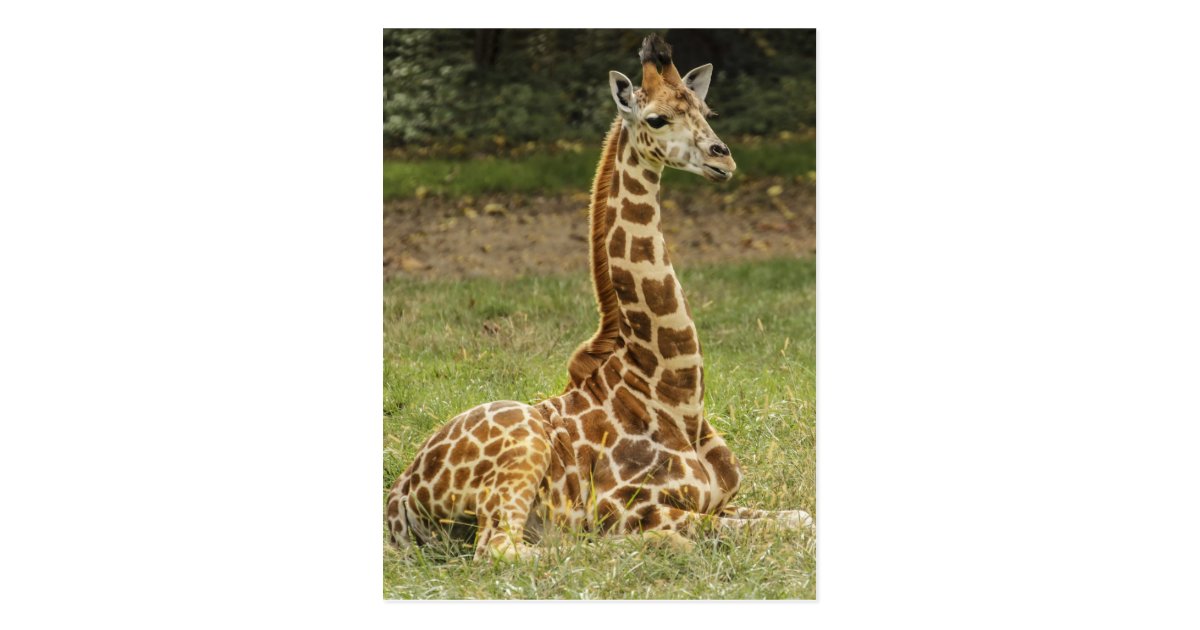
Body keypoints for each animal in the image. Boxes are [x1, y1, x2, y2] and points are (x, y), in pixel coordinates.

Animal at [386, 34, 813, 561]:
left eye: (706, 110)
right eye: (657, 119)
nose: (723, 158)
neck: (676, 395)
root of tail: (398, 503)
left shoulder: (724, 501)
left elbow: (802, 519)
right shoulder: (630, 506)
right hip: (523, 453)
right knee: (508, 548)